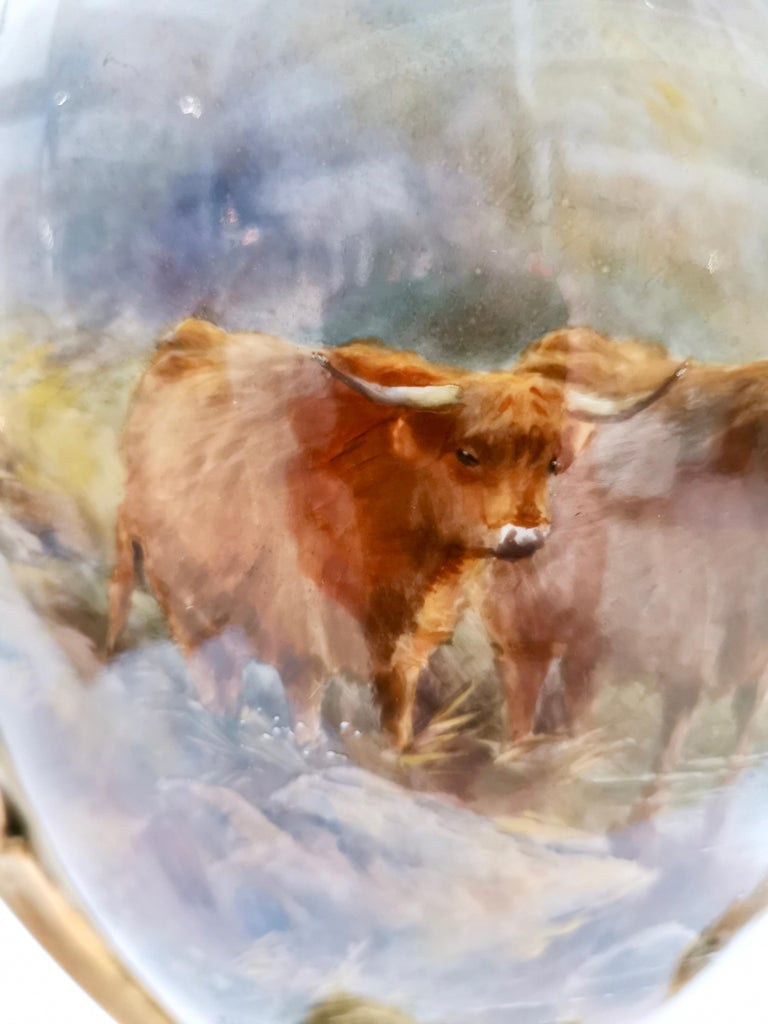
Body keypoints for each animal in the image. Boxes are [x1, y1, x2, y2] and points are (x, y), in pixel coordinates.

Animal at [106, 318, 682, 750]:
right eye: (467, 454)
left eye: (552, 463)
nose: (524, 538)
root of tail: (188, 336)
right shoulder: (301, 641)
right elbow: (305, 725)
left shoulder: (403, 658)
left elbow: (396, 731)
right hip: (179, 592)